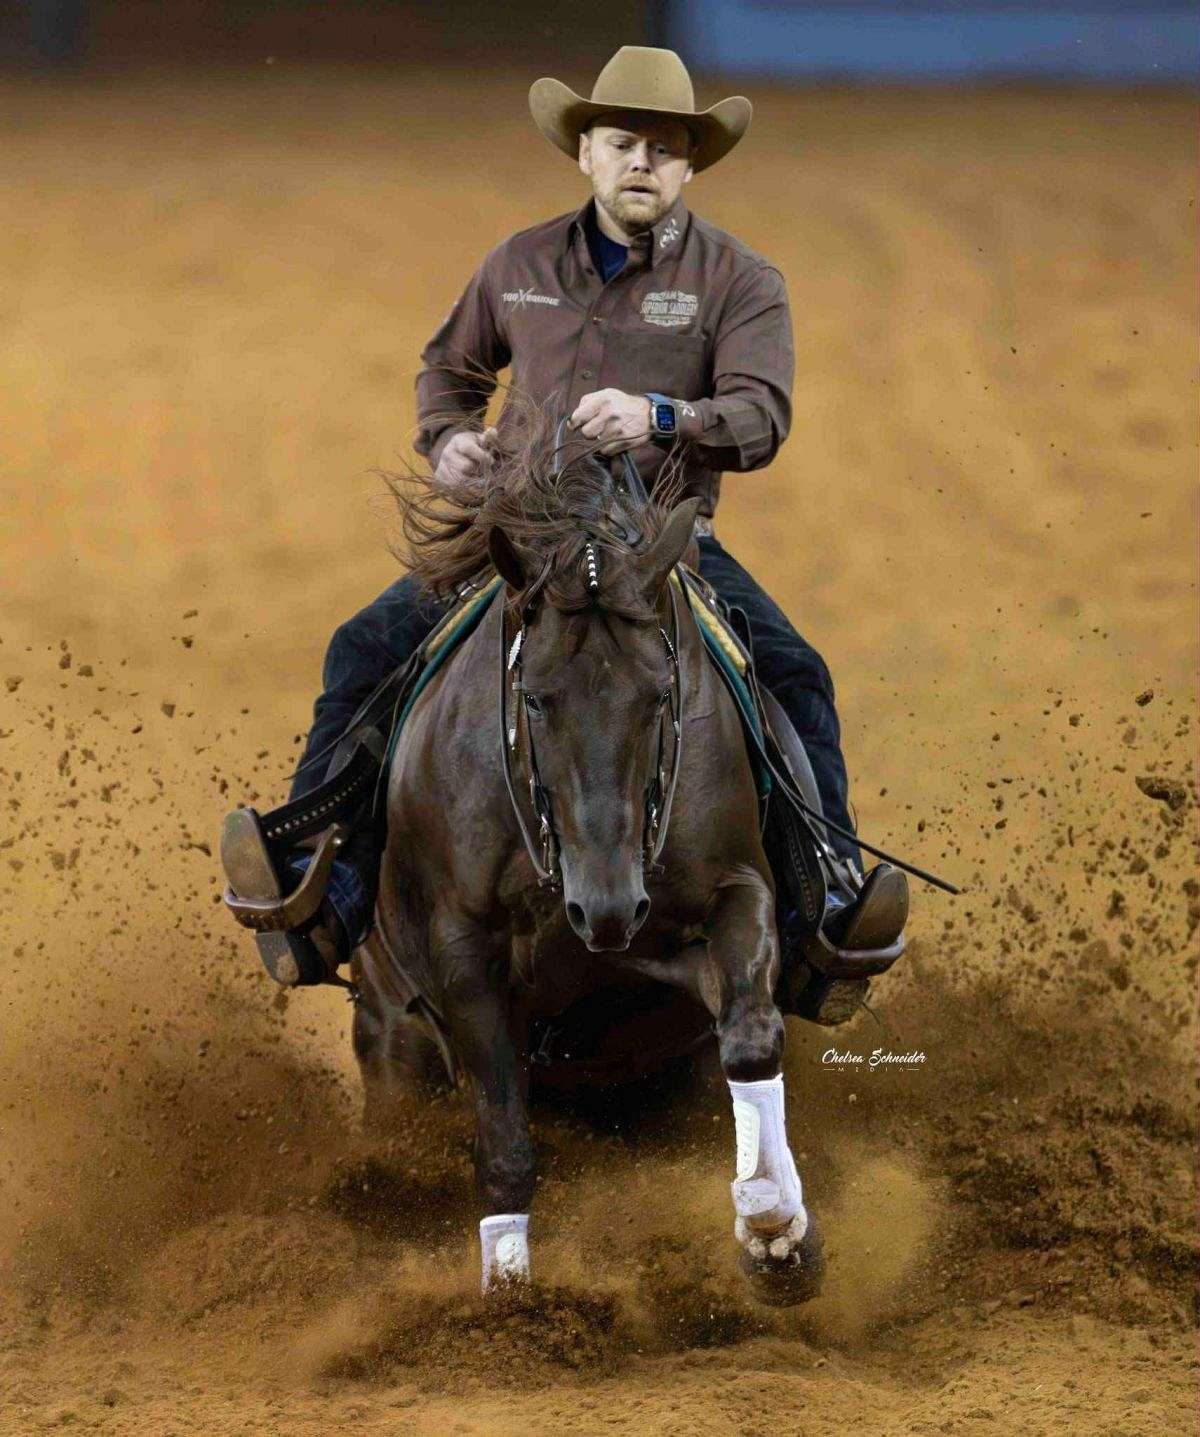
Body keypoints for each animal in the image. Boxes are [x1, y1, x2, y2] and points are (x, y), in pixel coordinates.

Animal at [350, 418, 824, 1303]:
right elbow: (504, 1146)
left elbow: (750, 1032)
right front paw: (513, 1308)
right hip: (392, 1050)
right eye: (535, 697)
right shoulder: (464, 951)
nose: (606, 908)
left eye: (660, 694)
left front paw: (776, 1231)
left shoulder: (736, 890)